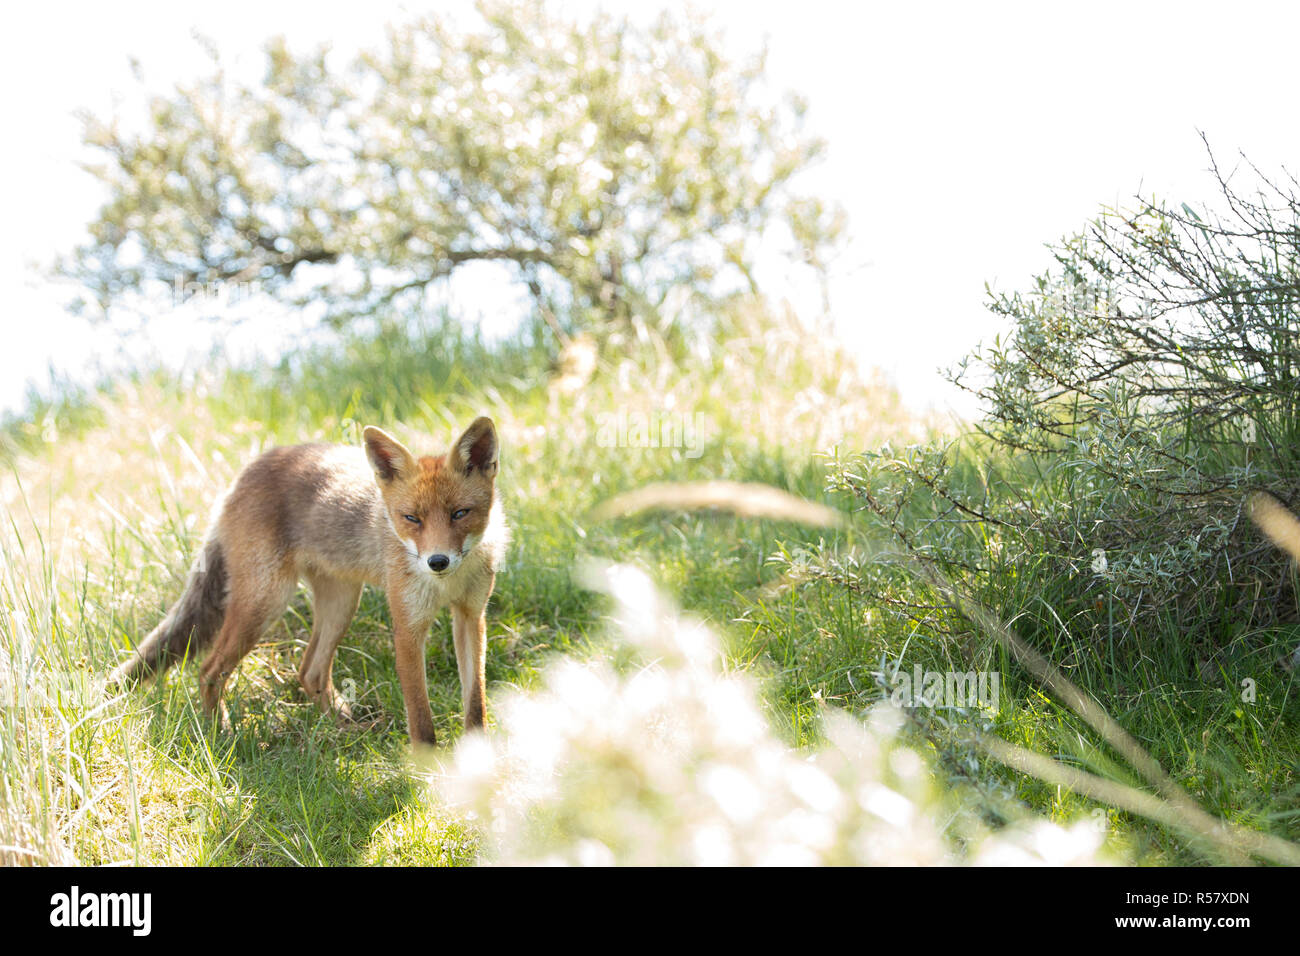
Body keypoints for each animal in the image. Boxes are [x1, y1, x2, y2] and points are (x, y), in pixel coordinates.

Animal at [108, 416, 509, 746]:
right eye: (411, 518)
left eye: (460, 513)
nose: (437, 561)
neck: (448, 585)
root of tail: (242, 476)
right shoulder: (408, 628)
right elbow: (421, 719)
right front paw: (430, 771)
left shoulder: (471, 617)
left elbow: (476, 702)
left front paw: (477, 761)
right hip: (266, 603)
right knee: (208, 670)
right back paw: (218, 734)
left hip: (341, 602)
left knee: (309, 671)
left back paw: (344, 729)